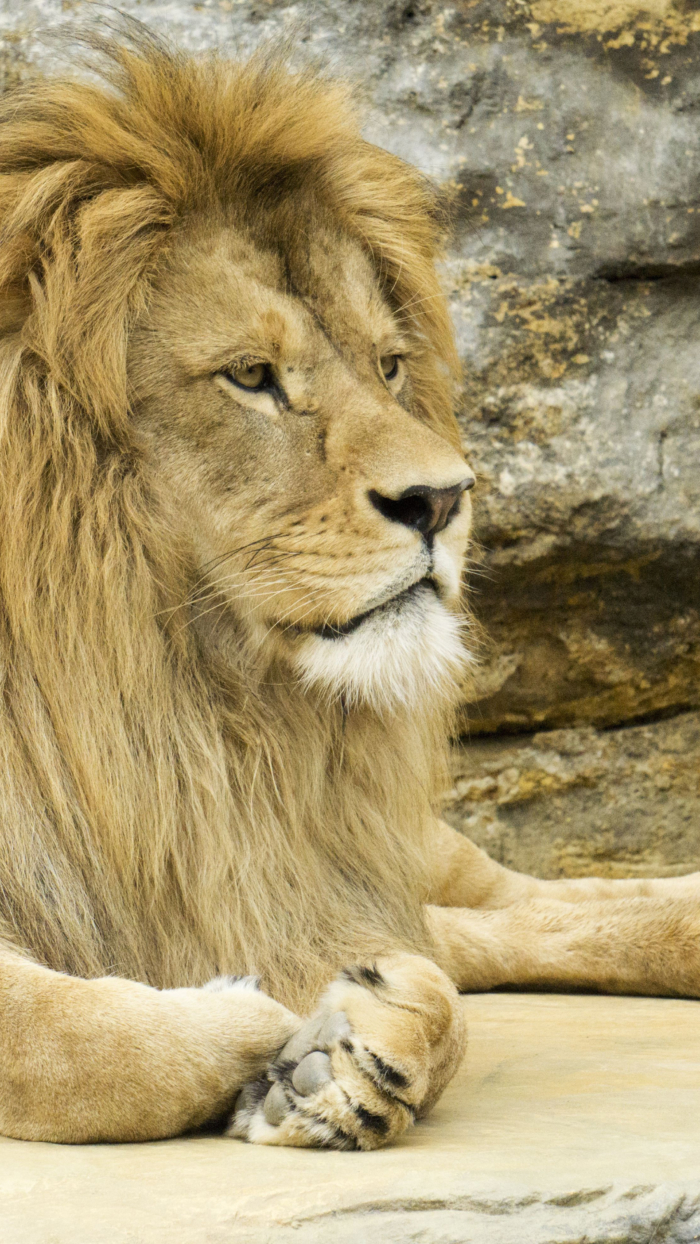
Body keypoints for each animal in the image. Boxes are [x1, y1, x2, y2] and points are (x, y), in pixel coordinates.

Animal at [0, 23, 697, 1152]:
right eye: (251, 376)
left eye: (389, 366)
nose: (444, 498)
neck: (172, 694)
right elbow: (67, 1046)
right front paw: (267, 1026)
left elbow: (433, 985)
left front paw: (349, 1058)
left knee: (509, 906)